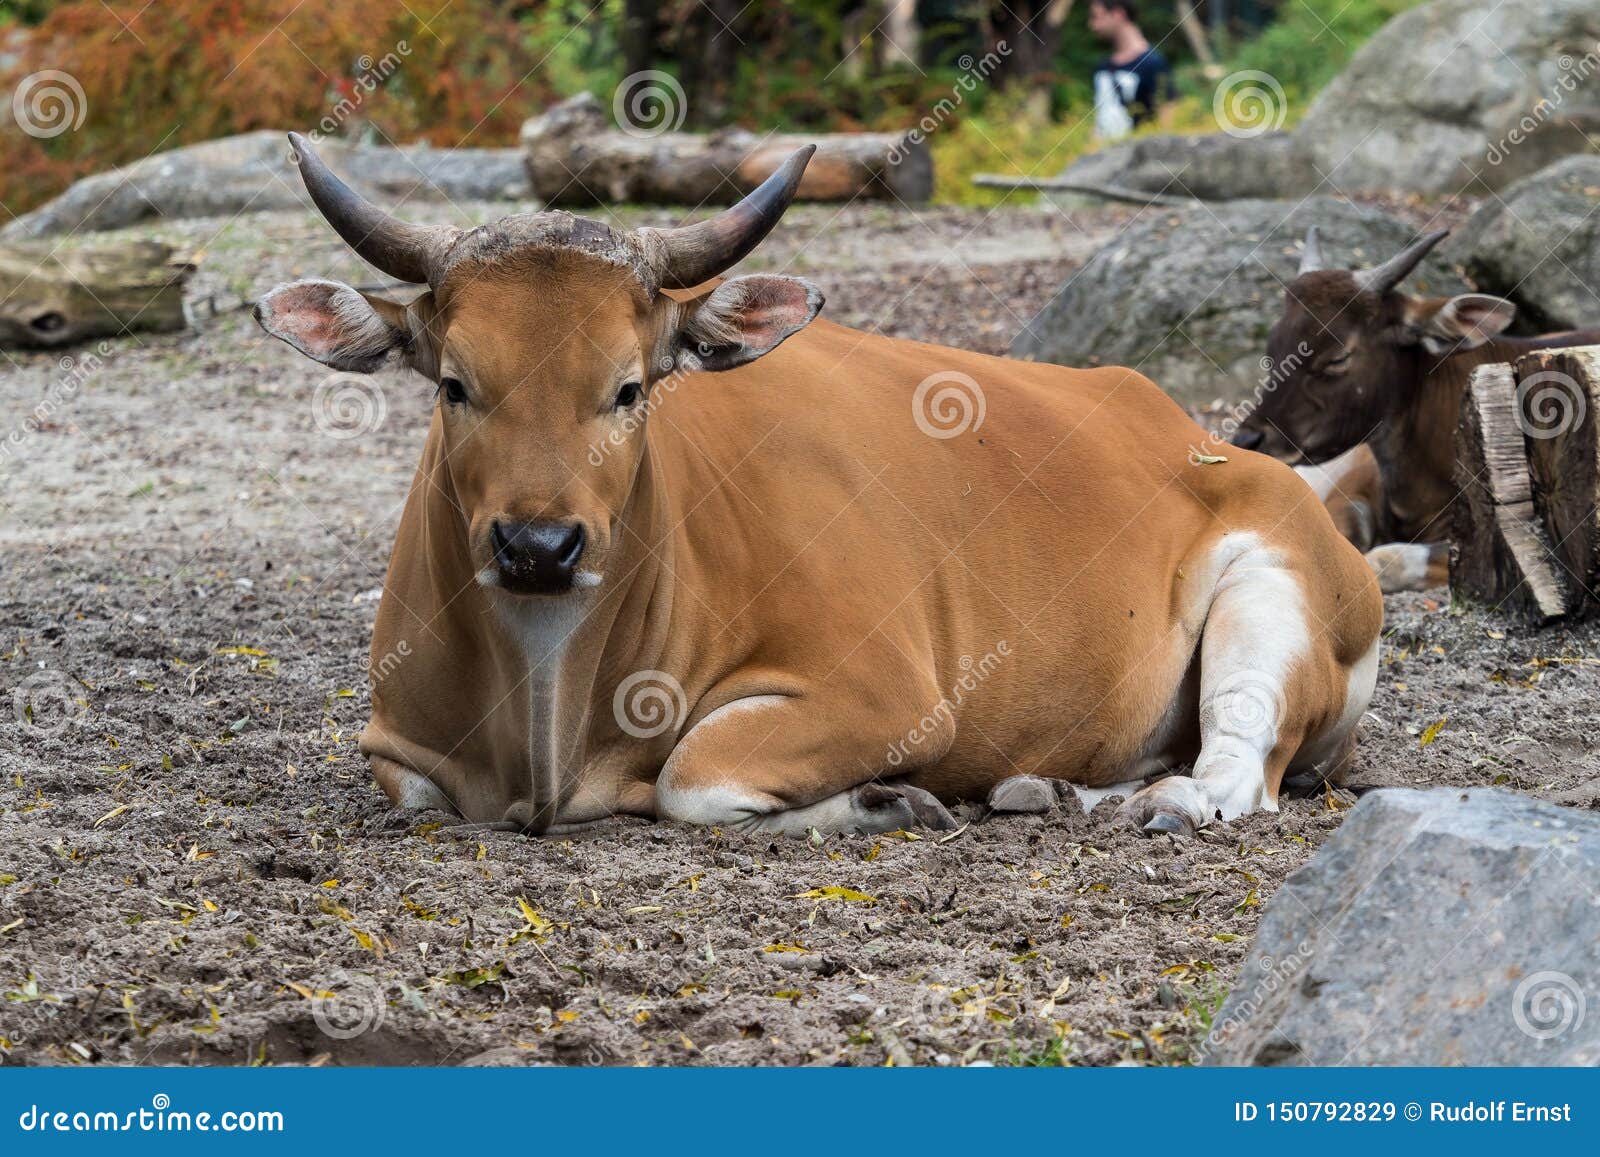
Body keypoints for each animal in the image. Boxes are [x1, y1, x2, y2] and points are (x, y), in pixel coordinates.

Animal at [255, 133, 1382, 839]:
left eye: (629, 386)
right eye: (454, 383)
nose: (539, 547)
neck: (547, 718)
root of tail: (1195, 438)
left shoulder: (885, 696)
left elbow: (692, 776)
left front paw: (882, 800)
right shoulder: (395, 749)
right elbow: (416, 788)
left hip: (1278, 590)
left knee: (1240, 761)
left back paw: (1162, 800)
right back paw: (1056, 786)